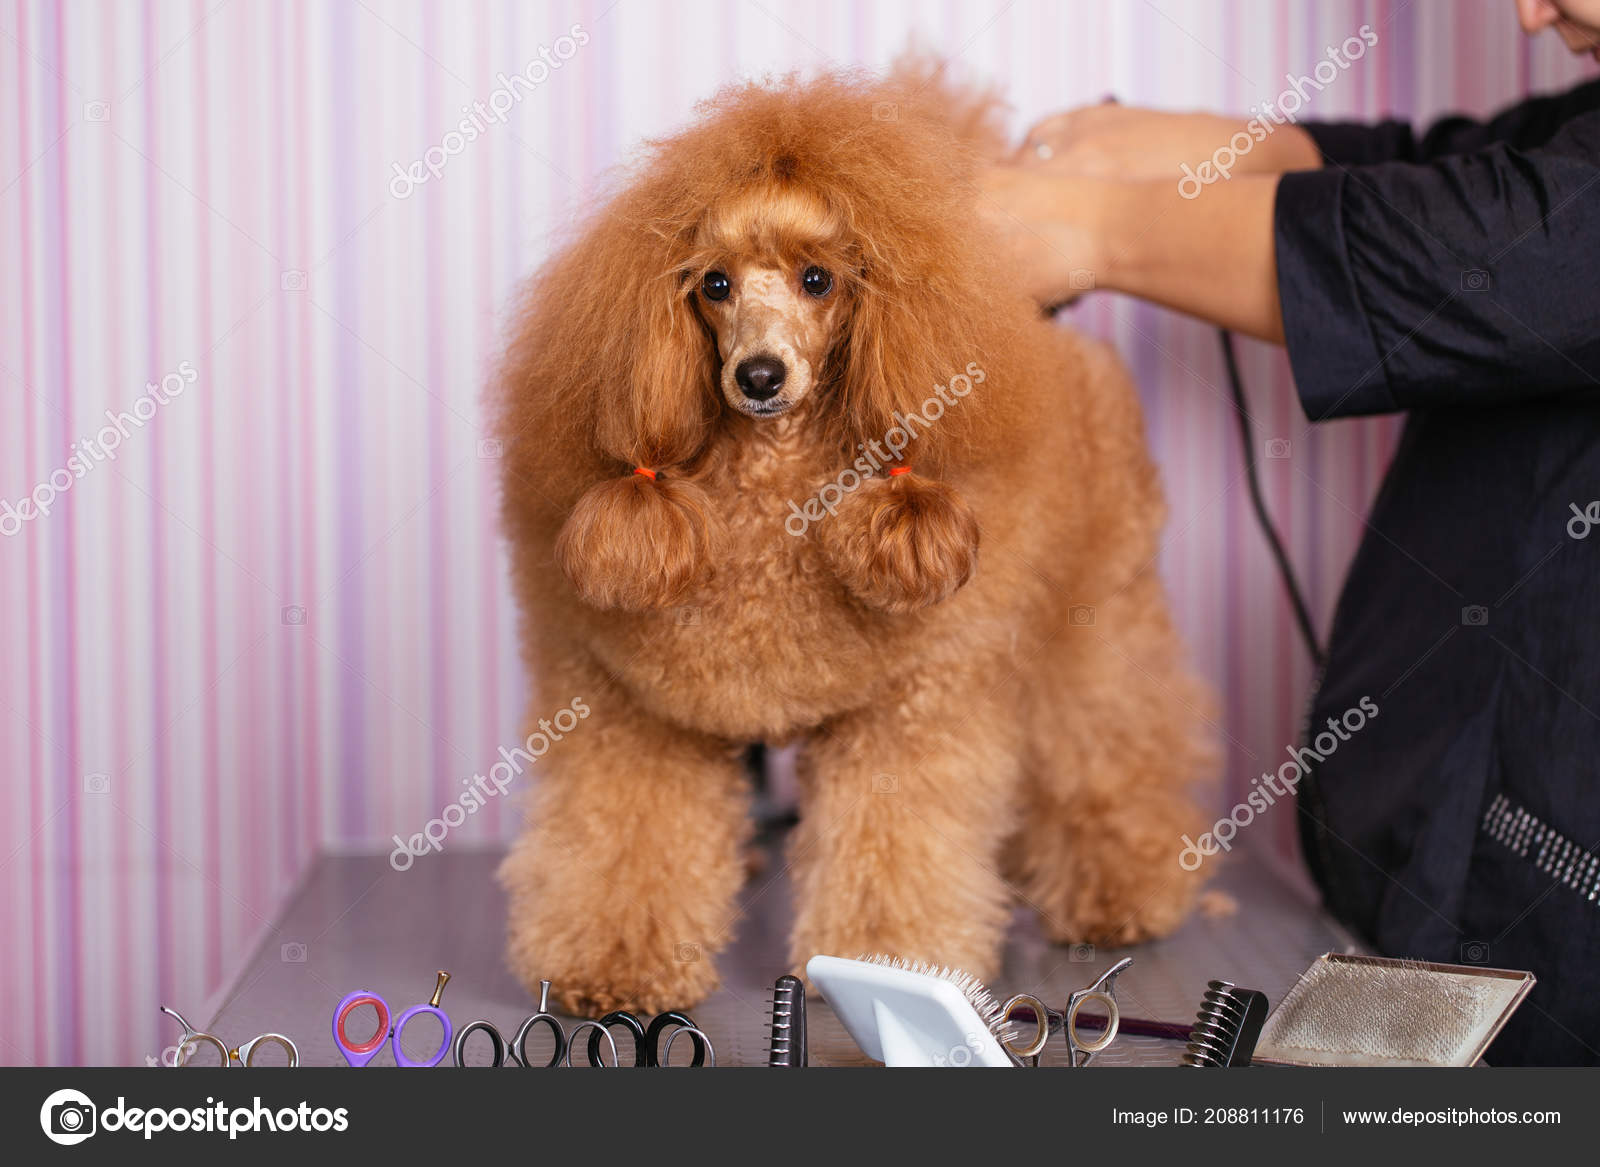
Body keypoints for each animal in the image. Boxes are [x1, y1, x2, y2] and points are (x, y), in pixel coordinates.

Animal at [494, 67, 1215, 1016]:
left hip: (1098, 611)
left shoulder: (910, 703)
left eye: (817, 278)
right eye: (714, 284)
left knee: (1110, 739)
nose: (760, 376)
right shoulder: (633, 704)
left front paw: (889, 967)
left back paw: (1118, 894)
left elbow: (894, 840)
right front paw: (614, 965)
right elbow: (627, 835)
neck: (772, 494)